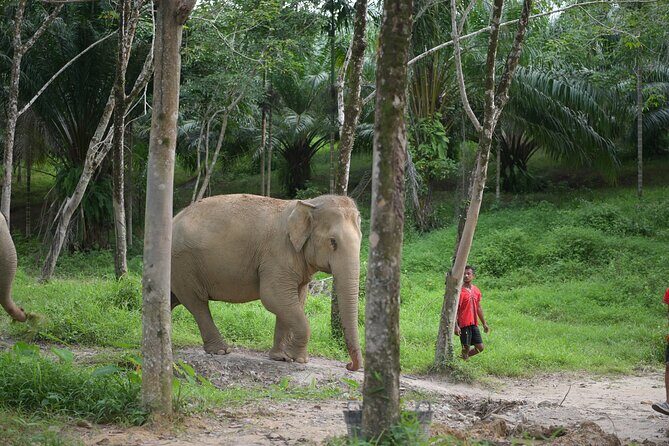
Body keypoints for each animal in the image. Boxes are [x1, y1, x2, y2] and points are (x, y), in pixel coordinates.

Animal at [170, 194, 363, 371]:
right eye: (333, 242)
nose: (349, 365)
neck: (308, 203)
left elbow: (295, 300)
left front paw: (282, 358)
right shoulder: (277, 254)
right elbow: (274, 297)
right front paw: (299, 360)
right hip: (183, 264)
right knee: (197, 302)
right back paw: (221, 351)